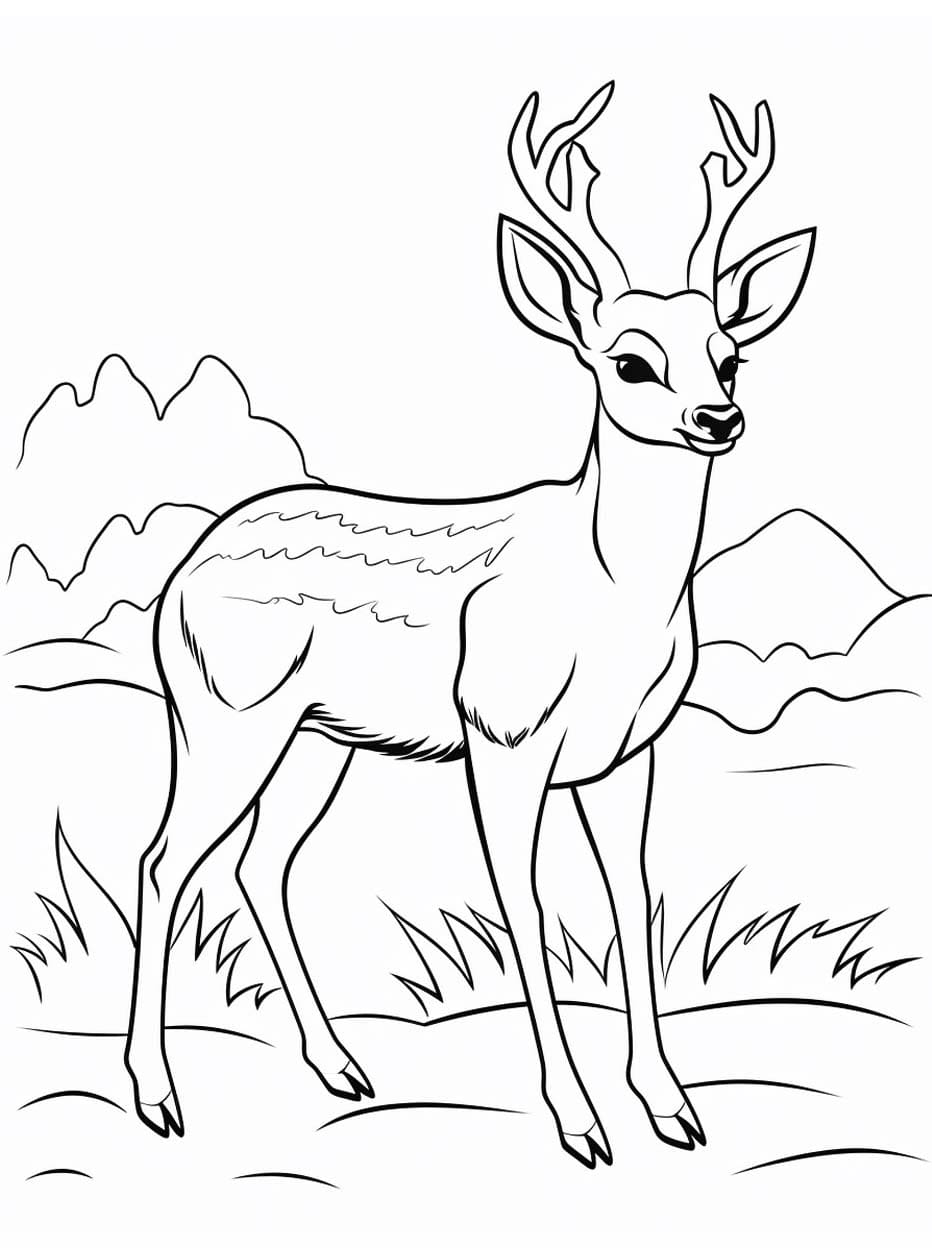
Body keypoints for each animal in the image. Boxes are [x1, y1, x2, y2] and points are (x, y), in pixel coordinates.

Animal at [124, 82, 815, 1168]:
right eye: (629, 362)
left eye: (729, 356)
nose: (719, 419)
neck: (611, 599)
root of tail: (179, 575)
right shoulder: (501, 732)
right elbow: (523, 907)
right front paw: (580, 1124)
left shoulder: (628, 753)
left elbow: (632, 899)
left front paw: (671, 1109)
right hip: (221, 712)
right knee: (163, 862)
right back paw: (159, 1098)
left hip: (320, 736)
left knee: (258, 862)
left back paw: (342, 1066)